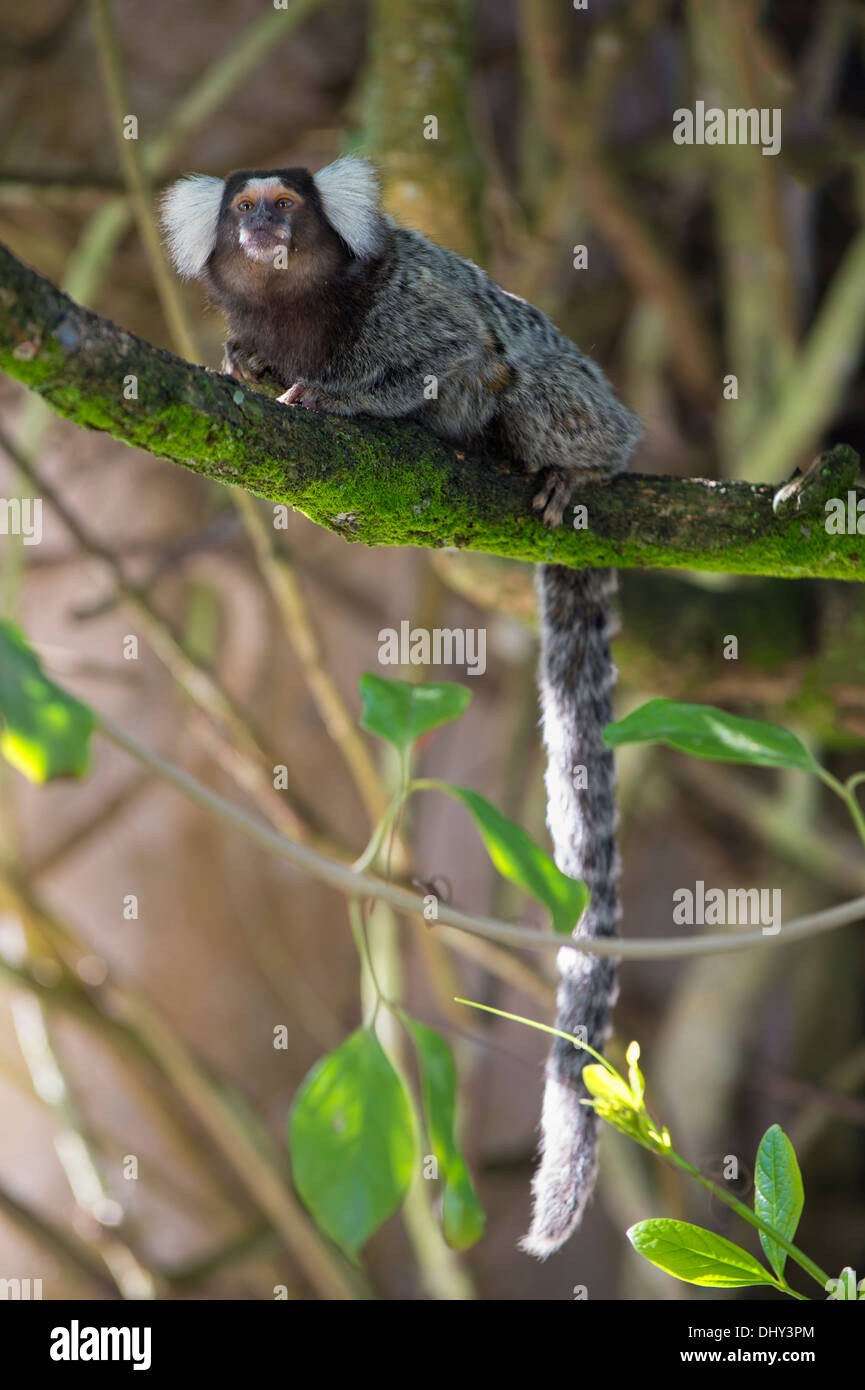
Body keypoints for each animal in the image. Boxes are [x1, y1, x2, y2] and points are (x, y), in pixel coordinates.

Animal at [161, 156, 641, 1256]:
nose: (261, 231)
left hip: (584, 403)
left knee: (530, 382)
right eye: (244, 209)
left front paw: (340, 398)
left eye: (284, 208)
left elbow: (457, 356)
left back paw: (577, 463)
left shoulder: (413, 308)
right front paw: (253, 364)